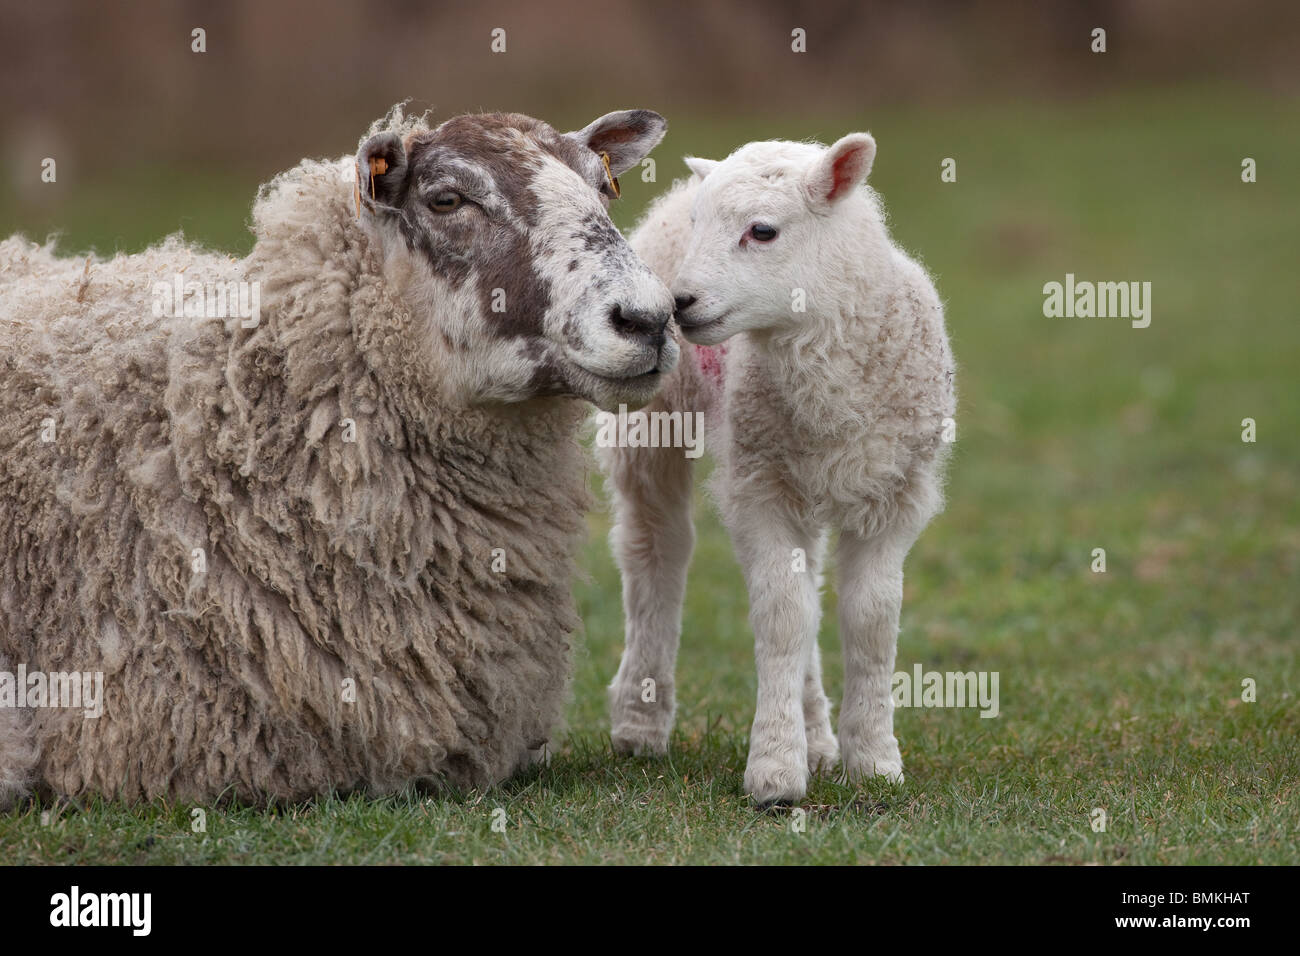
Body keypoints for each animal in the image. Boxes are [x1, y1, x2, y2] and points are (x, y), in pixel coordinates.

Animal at [601, 134, 956, 804]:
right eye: (700, 227)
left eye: (762, 231)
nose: (678, 305)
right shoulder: (757, 486)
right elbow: (781, 618)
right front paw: (775, 772)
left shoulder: (896, 492)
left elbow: (870, 620)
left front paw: (874, 760)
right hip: (650, 422)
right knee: (655, 549)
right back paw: (640, 721)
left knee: (807, 582)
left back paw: (818, 736)